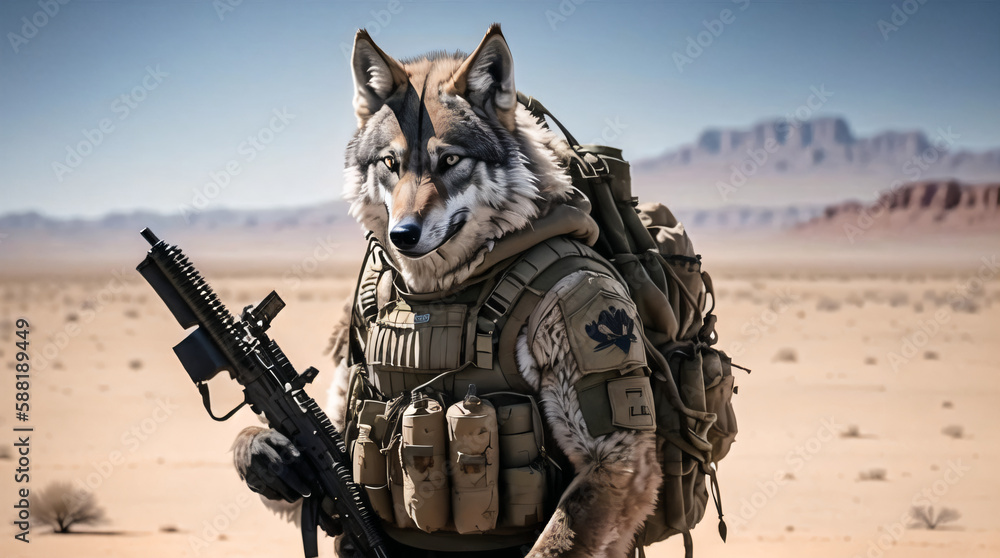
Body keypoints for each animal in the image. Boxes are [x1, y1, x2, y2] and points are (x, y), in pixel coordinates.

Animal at [232, 24, 661, 558]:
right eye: (390, 163)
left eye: (451, 160)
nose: (402, 235)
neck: (438, 289)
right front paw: (261, 450)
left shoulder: (584, 300)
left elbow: (596, 480)